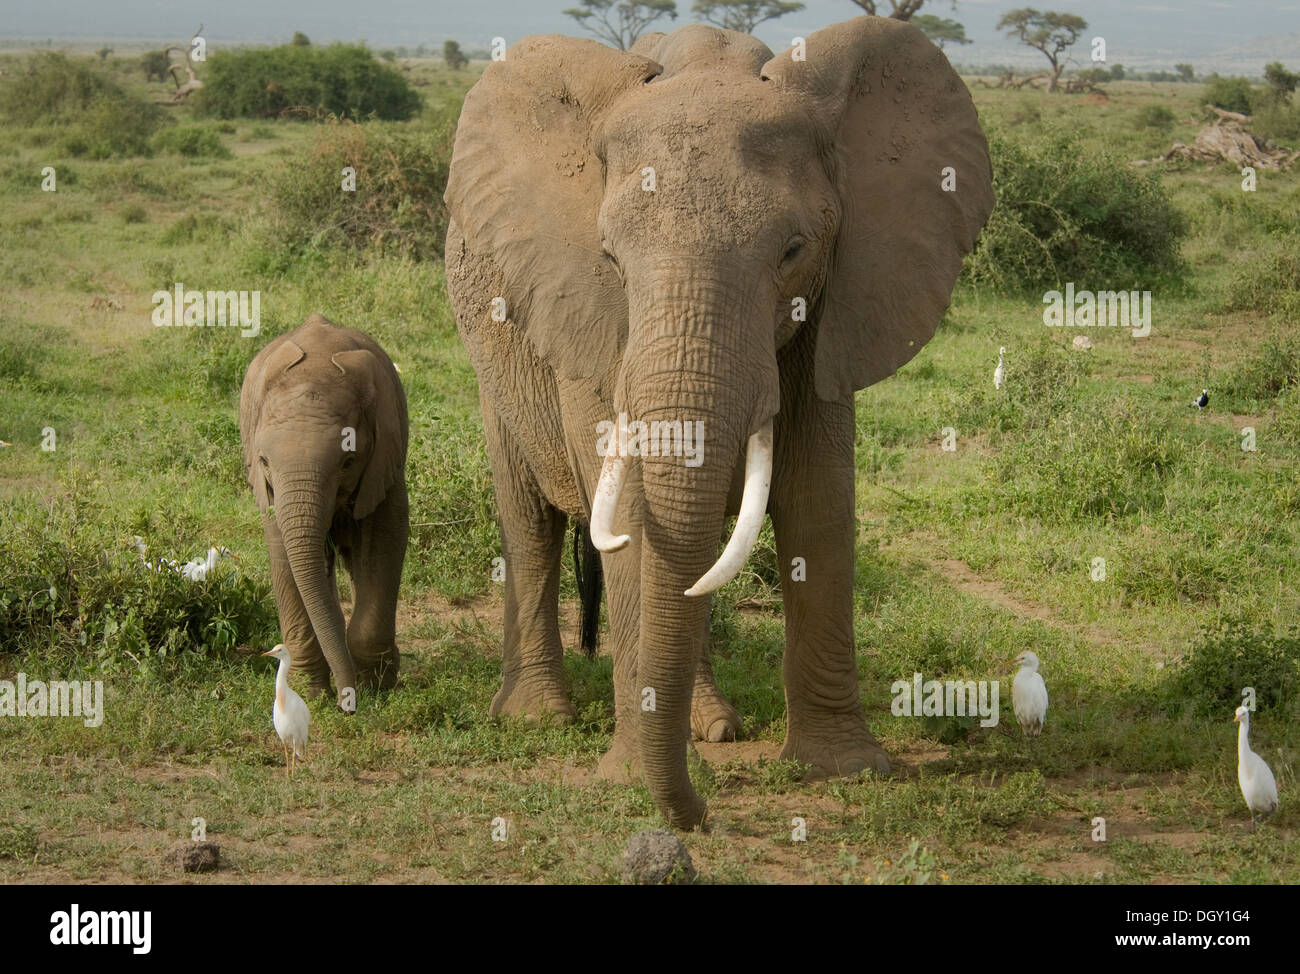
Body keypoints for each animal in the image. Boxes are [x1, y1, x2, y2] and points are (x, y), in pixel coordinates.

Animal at [239, 314, 409, 709]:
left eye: (348, 462)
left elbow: (383, 542)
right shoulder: (270, 491)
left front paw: (377, 687)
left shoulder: (384, 462)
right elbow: (284, 555)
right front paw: (309, 695)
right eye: (264, 462)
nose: (347, 705)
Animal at [443, 15, 993, 827]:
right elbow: (625, 515)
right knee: (529, 518)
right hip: (491, 350)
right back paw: (538, 717)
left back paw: (710, 728)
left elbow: (818, 501)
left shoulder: (838, 303)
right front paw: (627, 780)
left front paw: (845, 770)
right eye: (609, 258)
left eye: (794, 251)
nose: (699, 816)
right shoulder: (586, 315)